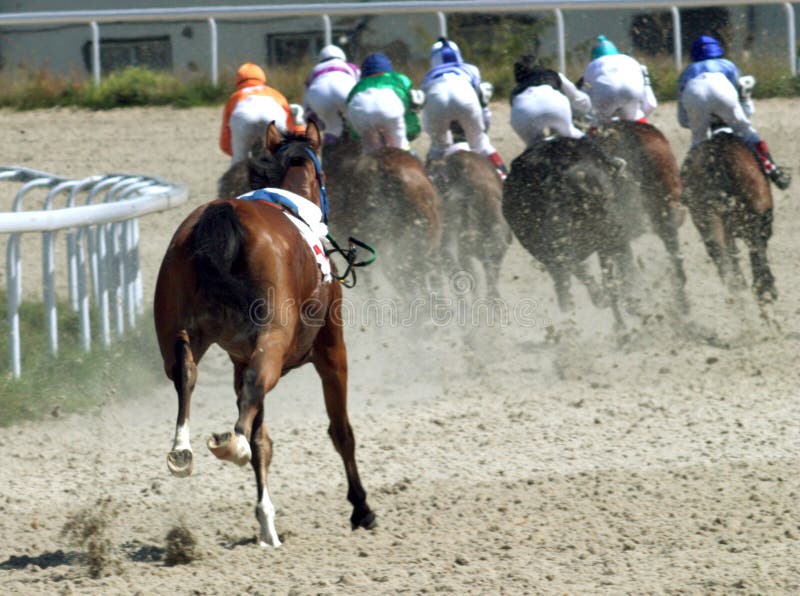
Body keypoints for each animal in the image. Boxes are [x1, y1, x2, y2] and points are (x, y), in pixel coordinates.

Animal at [153, 120, 375, 548]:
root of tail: (221, 213)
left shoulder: (240, 357)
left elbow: (262, 437)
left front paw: (266, 522)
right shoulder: (332, 351)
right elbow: (340, 430)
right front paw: (361, 508)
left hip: (181, 331)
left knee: (186, 372)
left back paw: (182, 449)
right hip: (273, 338)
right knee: (256, 390)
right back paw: (231, 444)